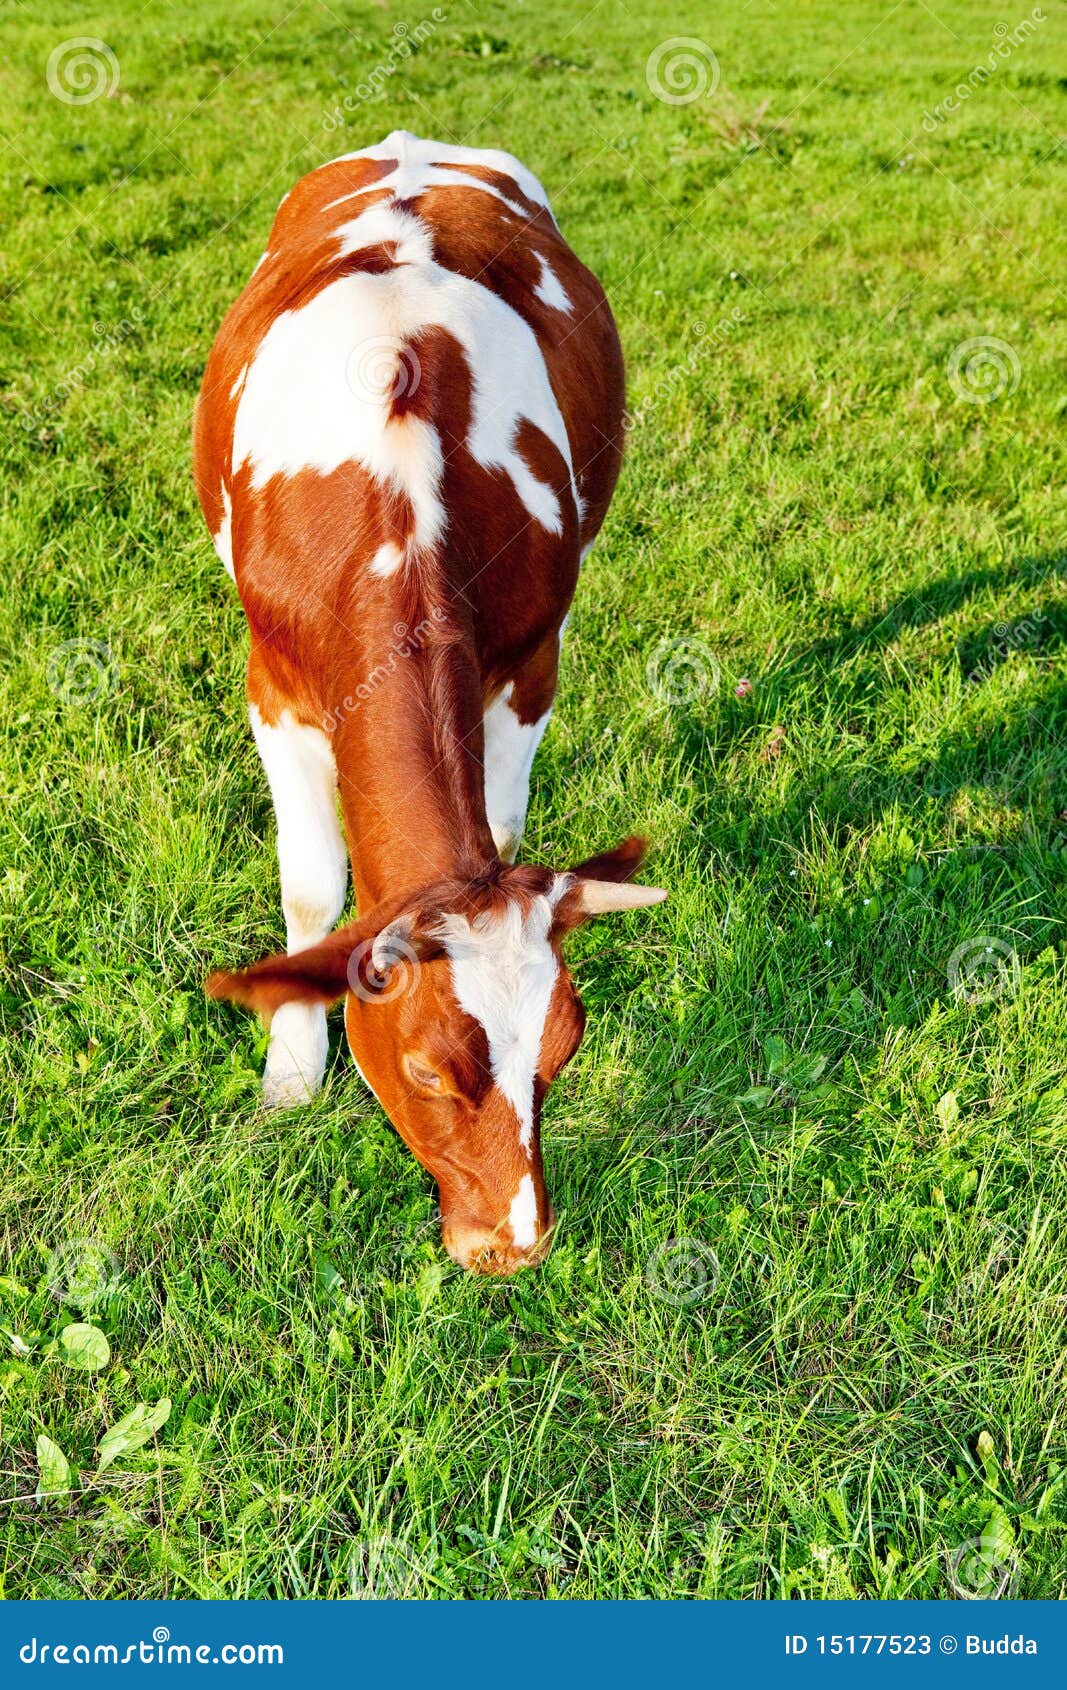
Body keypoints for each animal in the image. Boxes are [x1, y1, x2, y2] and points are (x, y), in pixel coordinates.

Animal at [194, 131, 666, 1274]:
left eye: (563, 1049)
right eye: (420, 1070)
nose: (514, 1244)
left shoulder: (532, 665)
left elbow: (503, 819)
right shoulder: (272, 688)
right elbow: (312, 892)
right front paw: (290, 1069)